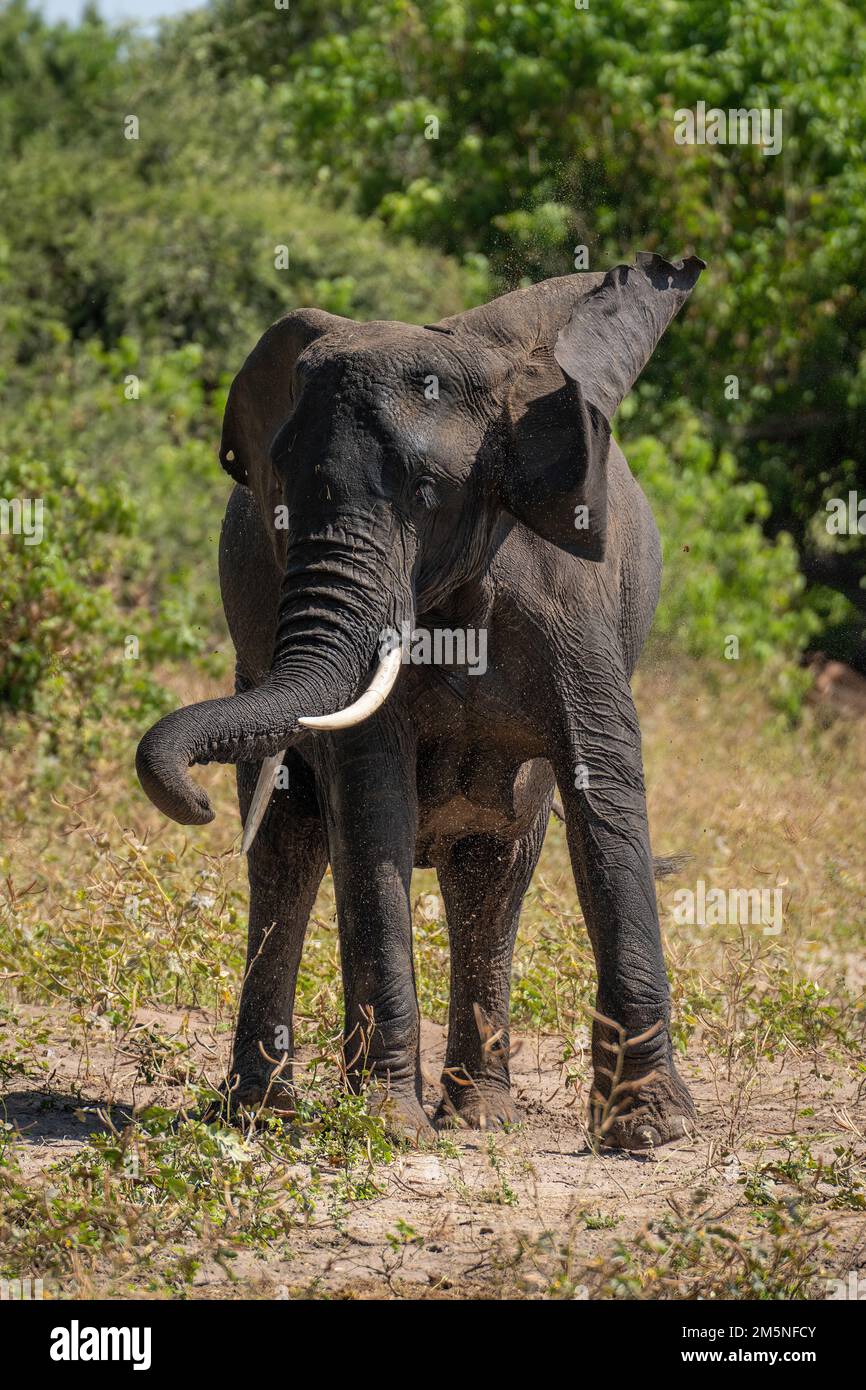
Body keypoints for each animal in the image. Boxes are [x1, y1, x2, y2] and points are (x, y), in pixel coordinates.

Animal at [136, 250, 705, 1149]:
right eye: (278, 486)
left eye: (430, 489)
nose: (190, 801)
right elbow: (372, 801)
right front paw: (388, 1128)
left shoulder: (573, 606)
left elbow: (603, 786)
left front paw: (651, 1134)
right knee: (286, 856)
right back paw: (260, 1112)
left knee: (496, 874)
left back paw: (483, 1120)